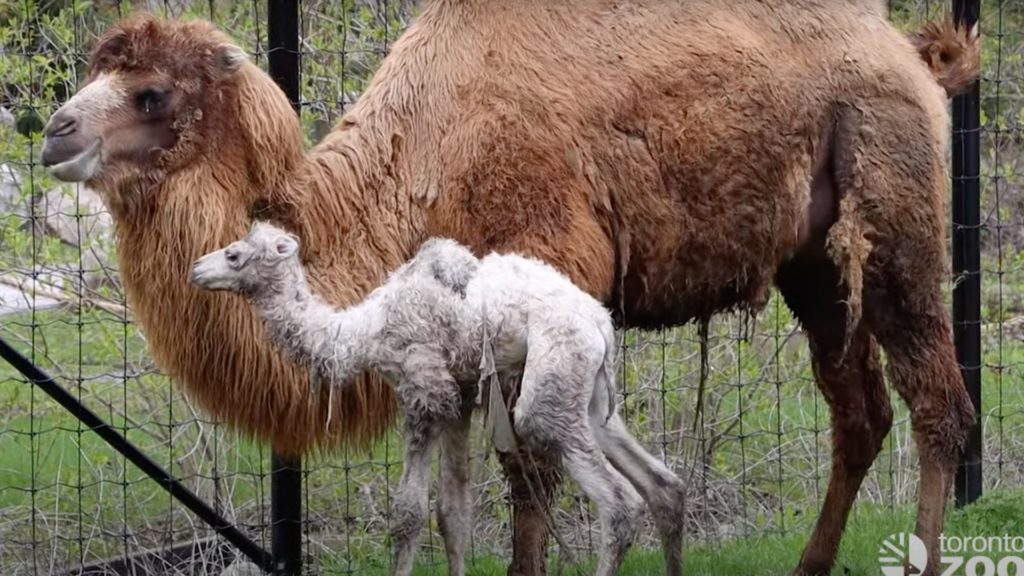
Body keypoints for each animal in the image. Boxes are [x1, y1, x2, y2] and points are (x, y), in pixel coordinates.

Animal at [190, 222, 688, 576]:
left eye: (234, 254)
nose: (196, 268)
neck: (361, 331)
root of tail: (601, 324)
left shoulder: (423, 391)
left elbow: (408, 513)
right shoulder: (460, 397)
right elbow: (454, 513)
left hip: (549, 390)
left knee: (619, 502)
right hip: (590, 396)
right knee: (664, 484)